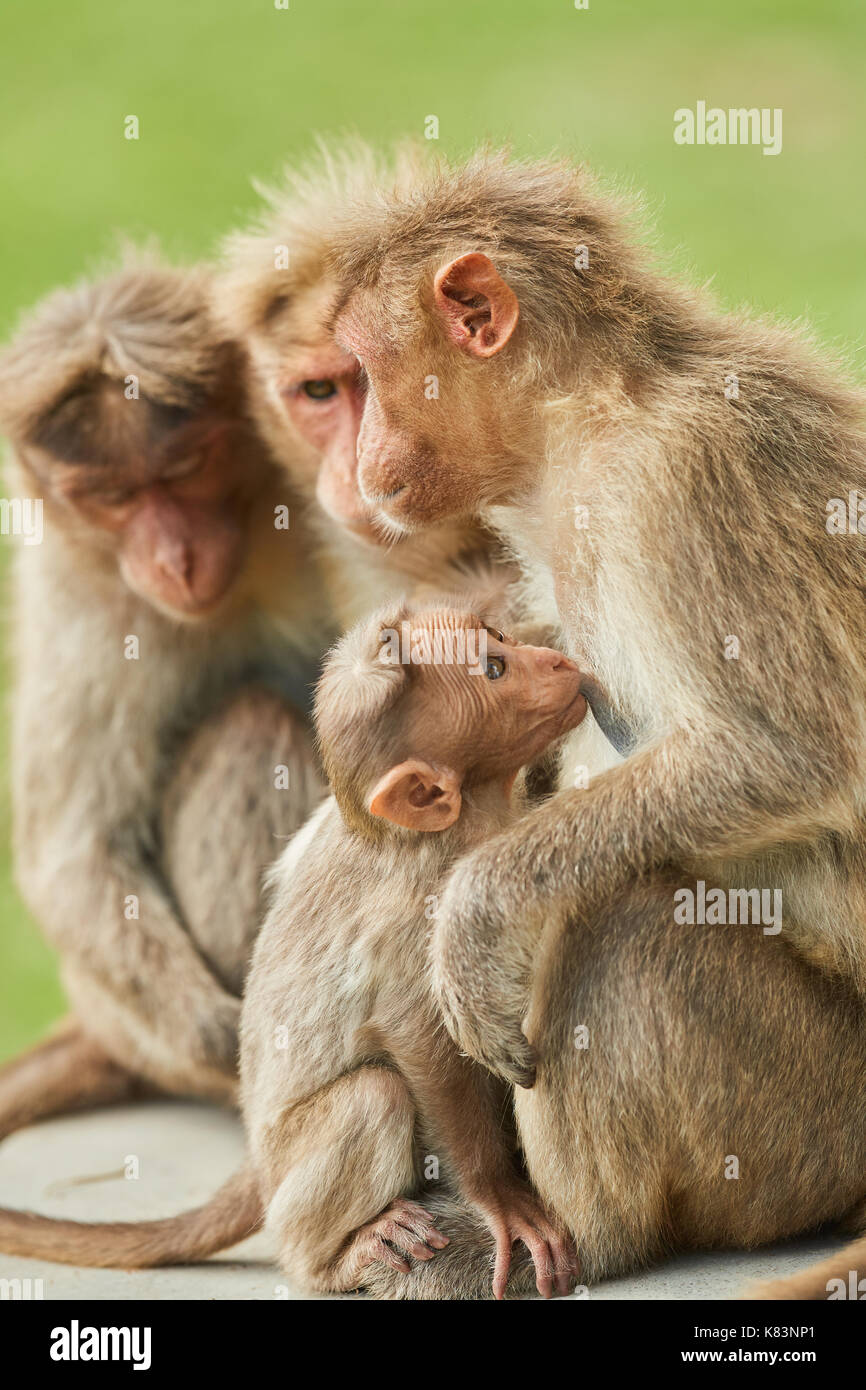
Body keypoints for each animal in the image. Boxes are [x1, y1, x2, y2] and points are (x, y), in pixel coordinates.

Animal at [0, 258, 329, 1132]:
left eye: (183, 473)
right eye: (112, 500)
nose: (172, 557)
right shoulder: (82, 599)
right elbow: (75, 854)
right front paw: (221, 1031)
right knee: (251, 727)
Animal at [0, 604, 587, 1299]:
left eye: (497, 639)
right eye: (495, 671)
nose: (555, 661)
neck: (427, 832)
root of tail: (257, 1162)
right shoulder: (420, 911)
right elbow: (418, 1039)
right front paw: (500, 1198)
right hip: (289, 1167)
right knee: (374, 1097)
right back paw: (331, 1258)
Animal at [320, 148, 866, 1291]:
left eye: (358, 379)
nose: (350, 468)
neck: (584, 426)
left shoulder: (682, 482)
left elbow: (788, 752)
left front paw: (474, 910)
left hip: (815, 1114)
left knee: (621, 928)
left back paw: (571, 1235)